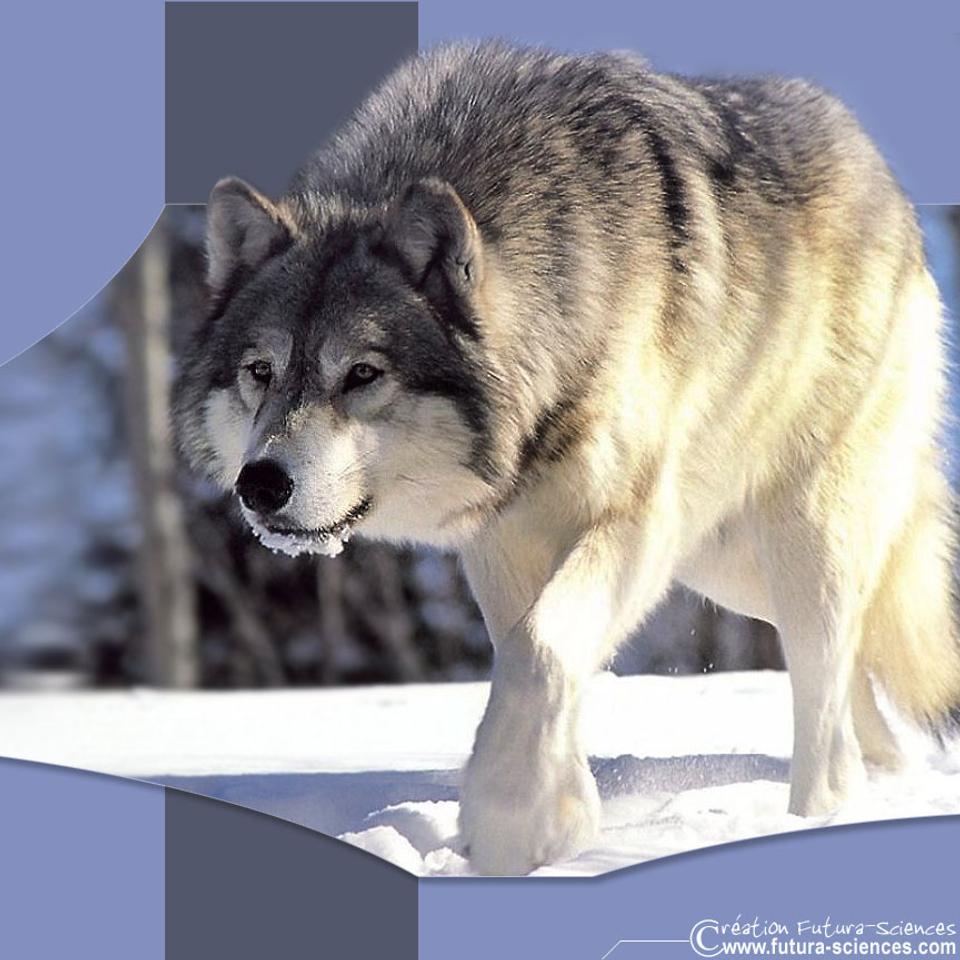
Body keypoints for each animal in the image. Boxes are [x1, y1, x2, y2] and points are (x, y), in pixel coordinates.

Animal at [174, 41, 959, 875]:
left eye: (361, 374)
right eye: (262, 372)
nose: (260, 484)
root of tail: (882, 176)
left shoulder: (635, 523)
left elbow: (541, 647)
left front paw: (512, 821)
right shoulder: (502, 539)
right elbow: (530, 656)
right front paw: (561, 811)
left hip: (797, 541)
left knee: (827, 703)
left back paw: (820, 817)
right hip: (728, 568)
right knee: (856, 677)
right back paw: (886, 779)